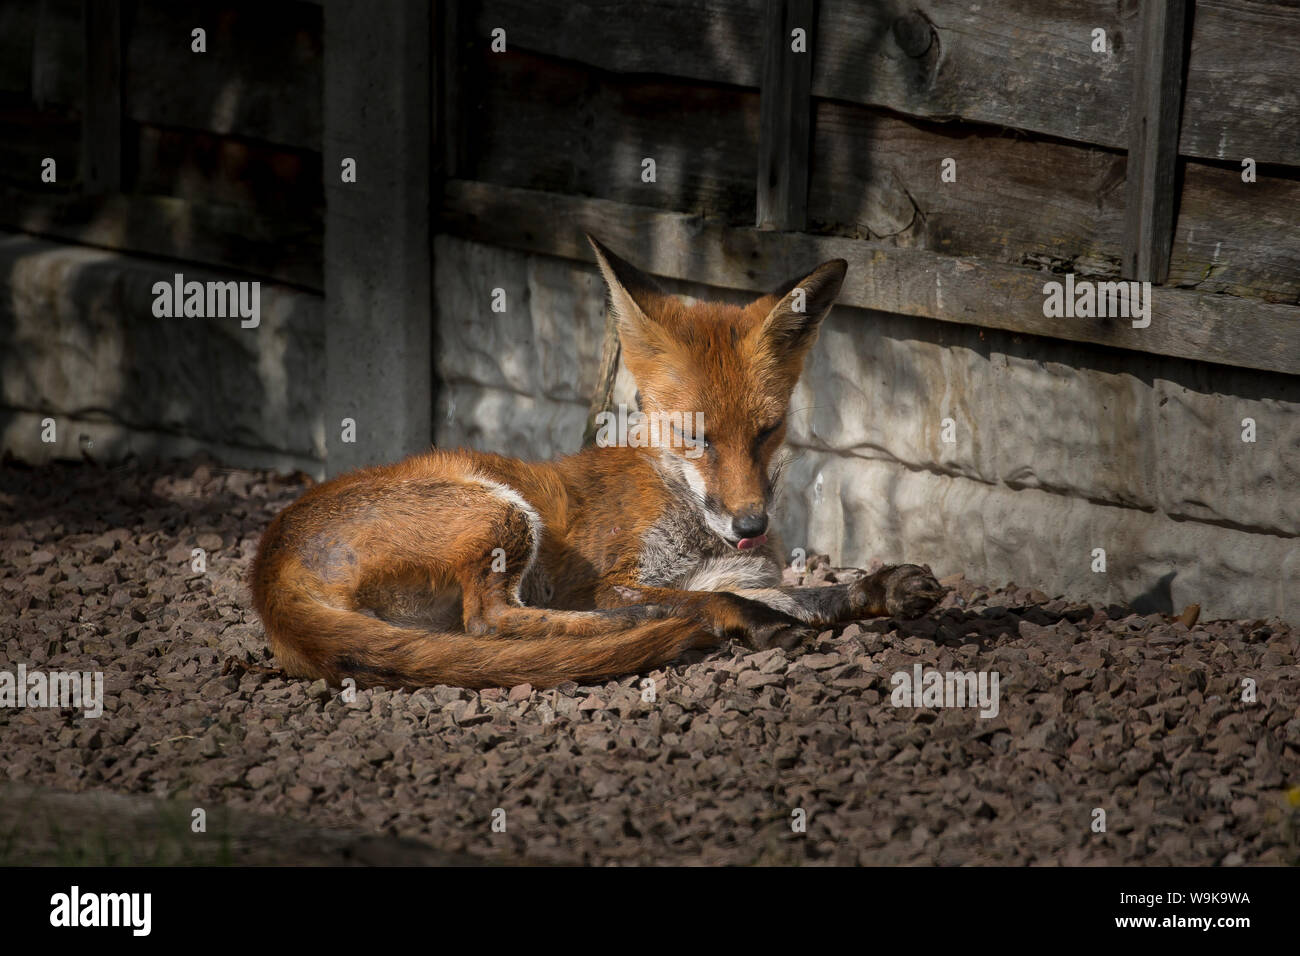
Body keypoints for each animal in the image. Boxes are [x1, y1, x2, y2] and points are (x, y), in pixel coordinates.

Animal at [250, 237, 944, 689]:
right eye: (695, 436)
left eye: (768, 431)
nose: (751, 527)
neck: (686, 513)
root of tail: (266, 563)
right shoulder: (623, 575)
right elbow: (718, 597)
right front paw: (748, 618)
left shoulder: (749, 574)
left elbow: (811, 596)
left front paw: (883, 588)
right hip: (501, 513)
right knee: (492, 624)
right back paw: (676, 625)